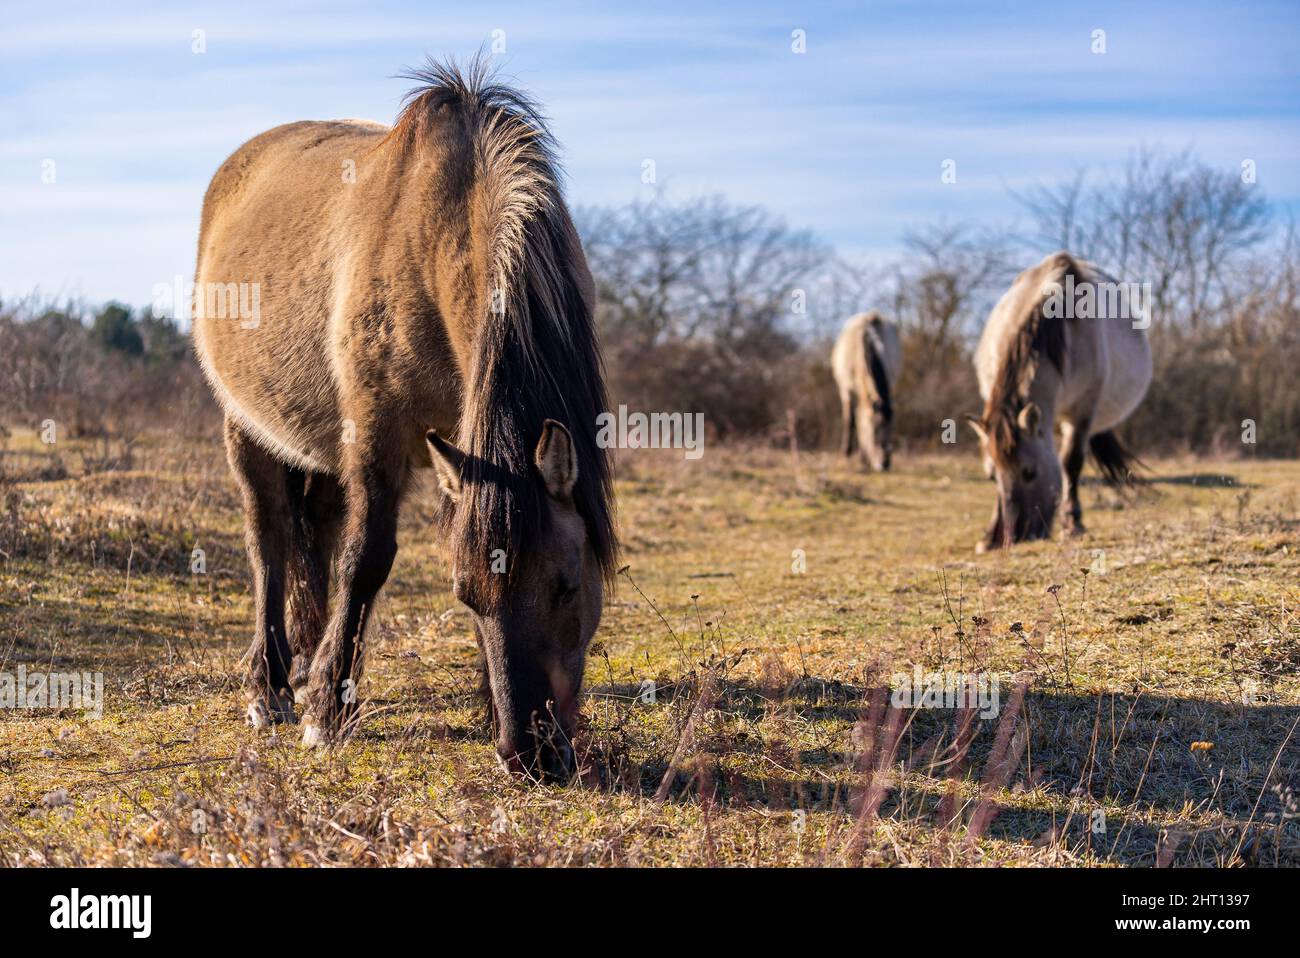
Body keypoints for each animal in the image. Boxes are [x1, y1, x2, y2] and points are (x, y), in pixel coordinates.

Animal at [193, 58, 617, 779]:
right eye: (466, 597)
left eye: (566, 587)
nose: (527, 753)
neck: (441, 230)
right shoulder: (380, 434)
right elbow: (366, 559)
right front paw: (327, 713)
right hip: (244, 427)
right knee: (267, 540)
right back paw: (271, 687)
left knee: (315, 532)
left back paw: (306, 662)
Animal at [831, 312, 902, 471]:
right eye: (874, 429)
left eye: (892, 428)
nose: (885, 463)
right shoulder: (846, 388)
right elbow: (853, 419)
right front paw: (854, 455)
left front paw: (863, 458)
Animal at [967, 251, 1152, 552]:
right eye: (991, 477)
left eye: (1030, 473)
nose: (1012, 536)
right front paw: (988, 537)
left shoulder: (1082, 411)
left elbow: (1070, 462)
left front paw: (1072, 523)